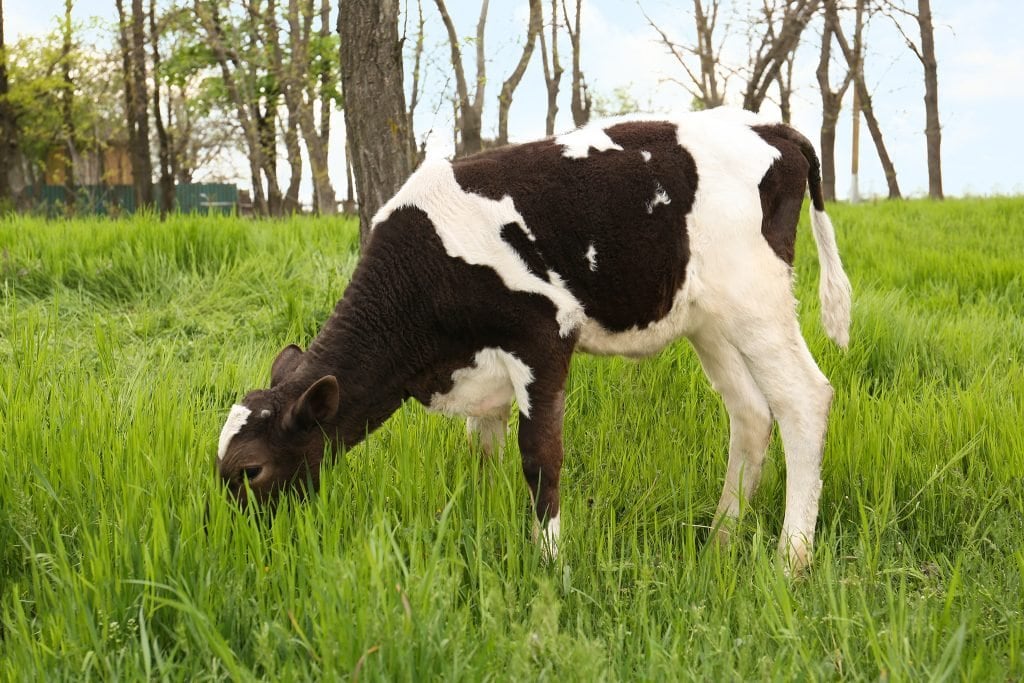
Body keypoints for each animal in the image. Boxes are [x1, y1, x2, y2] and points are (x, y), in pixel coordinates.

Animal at [216, 108, 852, 572]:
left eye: (250, 471)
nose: (238, 544)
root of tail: (770, 126)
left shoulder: (544, 333)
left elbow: (540, 456)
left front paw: (549, 560)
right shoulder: (481, 365)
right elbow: (482, 454)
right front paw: (476, 528)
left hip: (757, 300)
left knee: (803, 398)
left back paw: (791, 559)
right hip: (708, 318)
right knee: (750, 411)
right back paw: (720, 537)